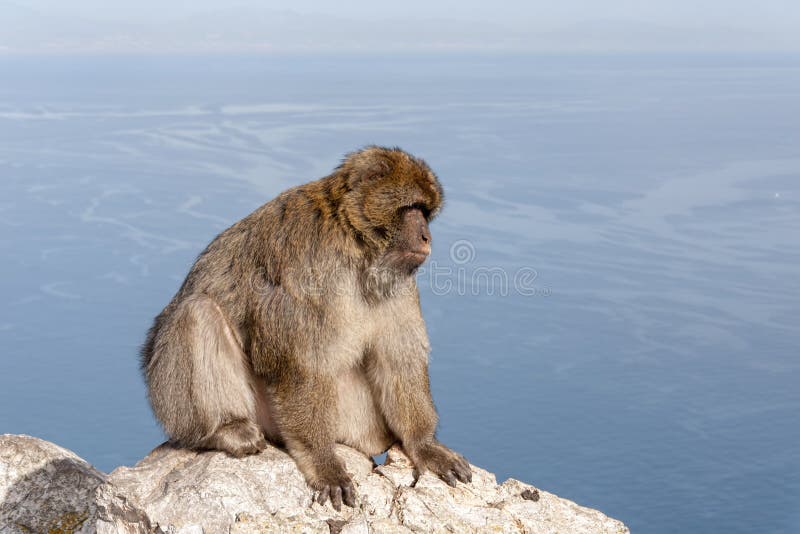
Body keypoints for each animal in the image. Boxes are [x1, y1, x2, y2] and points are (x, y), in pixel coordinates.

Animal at [140, 146, 472, 511]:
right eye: (411, 209)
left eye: (425, 212)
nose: (427, 237)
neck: (354, 242)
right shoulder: (309, 262)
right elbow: (301, 365)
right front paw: (323, 462)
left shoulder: (397, 280)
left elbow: (399, 358)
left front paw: (424, 444)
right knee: (197, 312)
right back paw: (224, 429)